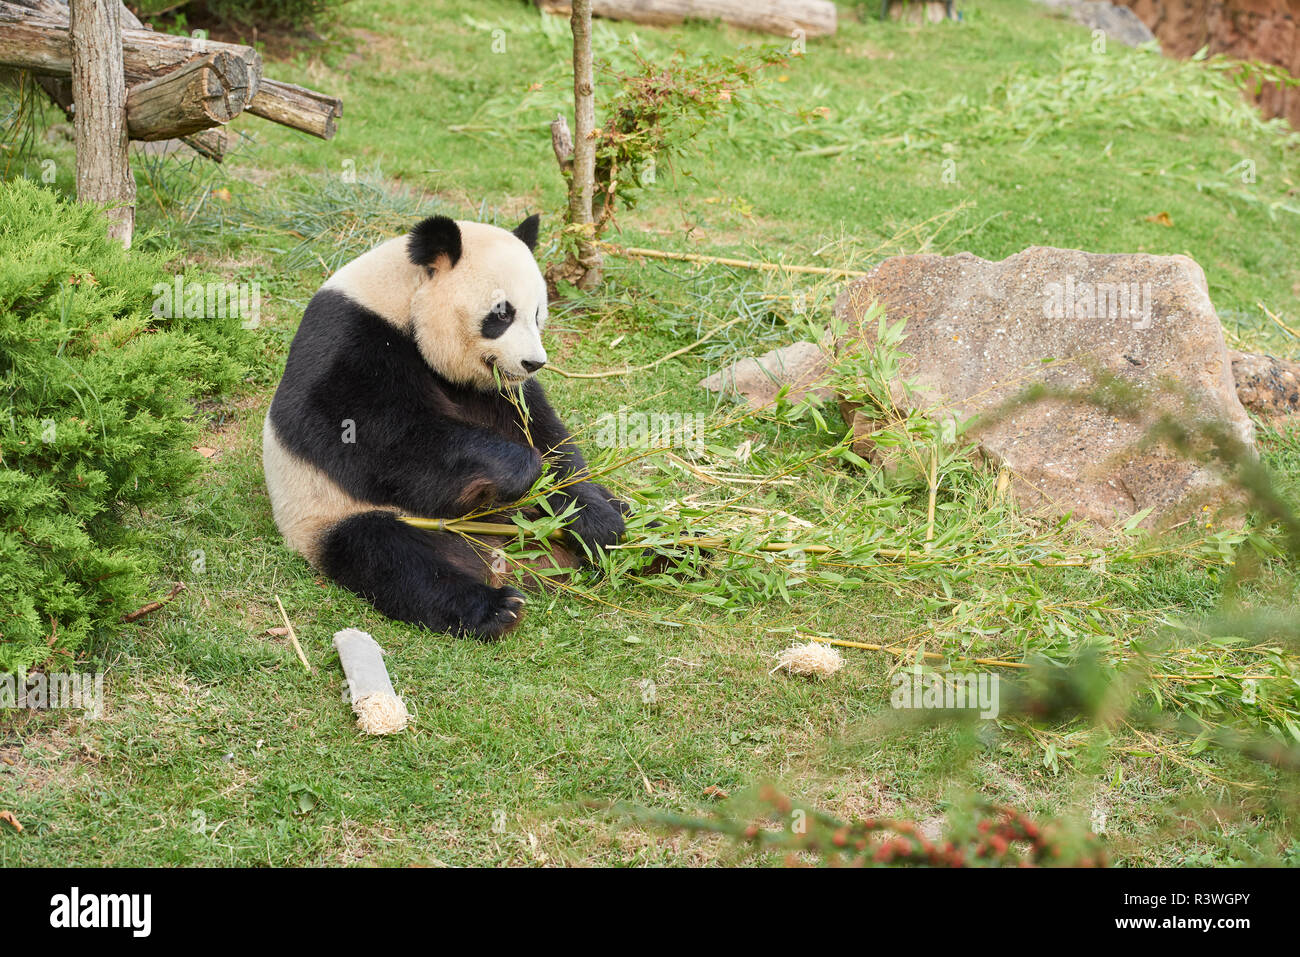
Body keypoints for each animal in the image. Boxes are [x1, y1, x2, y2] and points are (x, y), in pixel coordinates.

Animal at [263, 214, 627, 640]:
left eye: (537, 315)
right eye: (501, 314)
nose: (533, 363)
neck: (401, 301)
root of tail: (502, 554)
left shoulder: (497, 390)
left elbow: (548, 438)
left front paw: (594, 521)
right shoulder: (350, 335)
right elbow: (357, 432)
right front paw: (518, 468)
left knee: (629, 510)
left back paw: (659, 547)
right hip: (341, 516)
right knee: (395, 558)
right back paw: (495, 608)